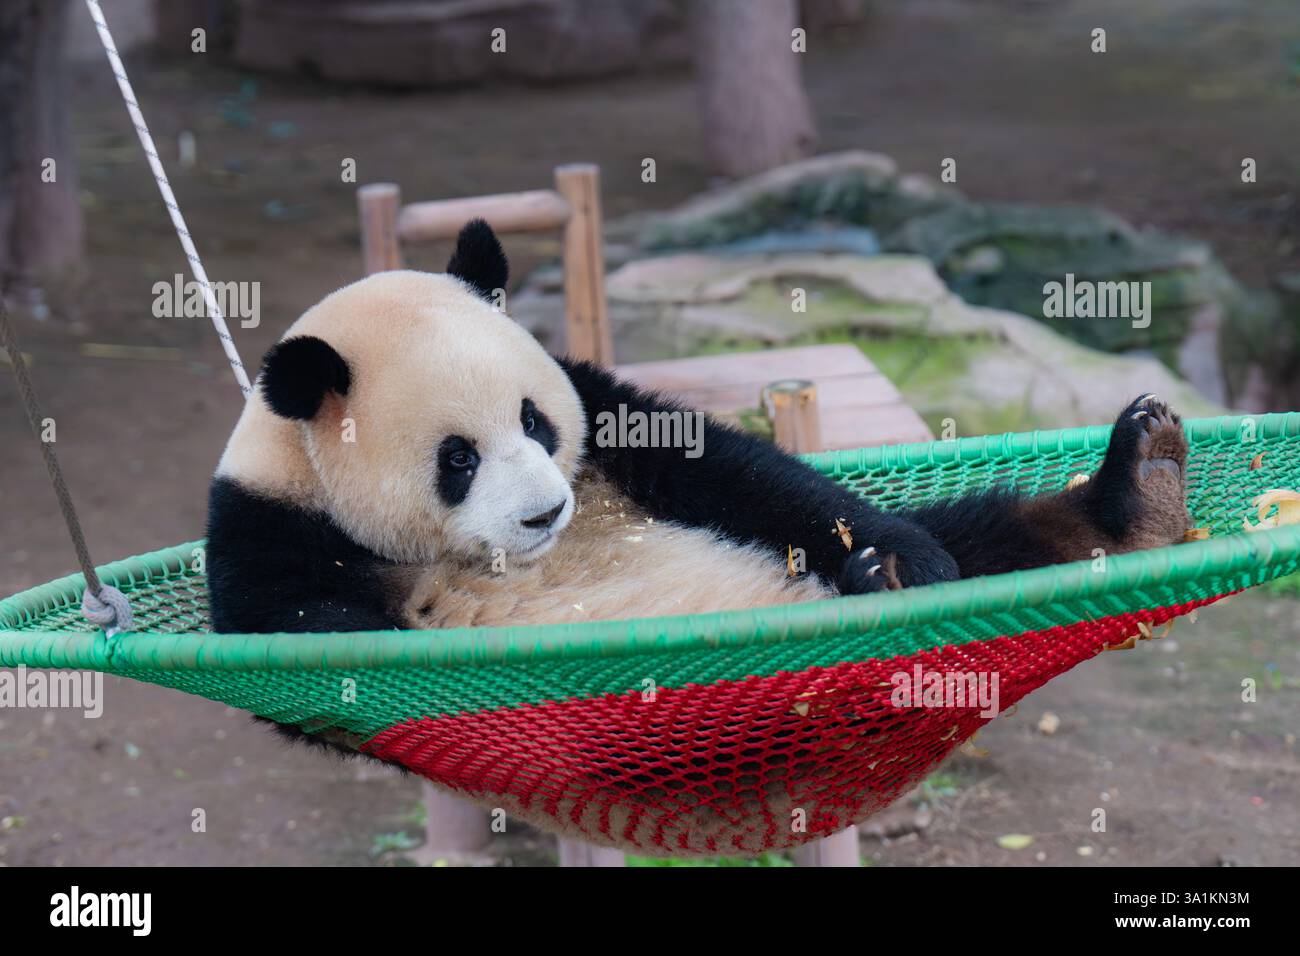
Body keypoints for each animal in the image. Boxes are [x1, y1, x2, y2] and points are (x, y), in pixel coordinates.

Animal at [206, 219, 1191, 640]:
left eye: (534, 420)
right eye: (457, 458)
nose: (546, 515)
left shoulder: (602, 413)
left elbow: (735, 472)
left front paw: (903, 554)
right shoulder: (268, 532)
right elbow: (312, 630)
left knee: (993, 537)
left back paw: (1138, 490)